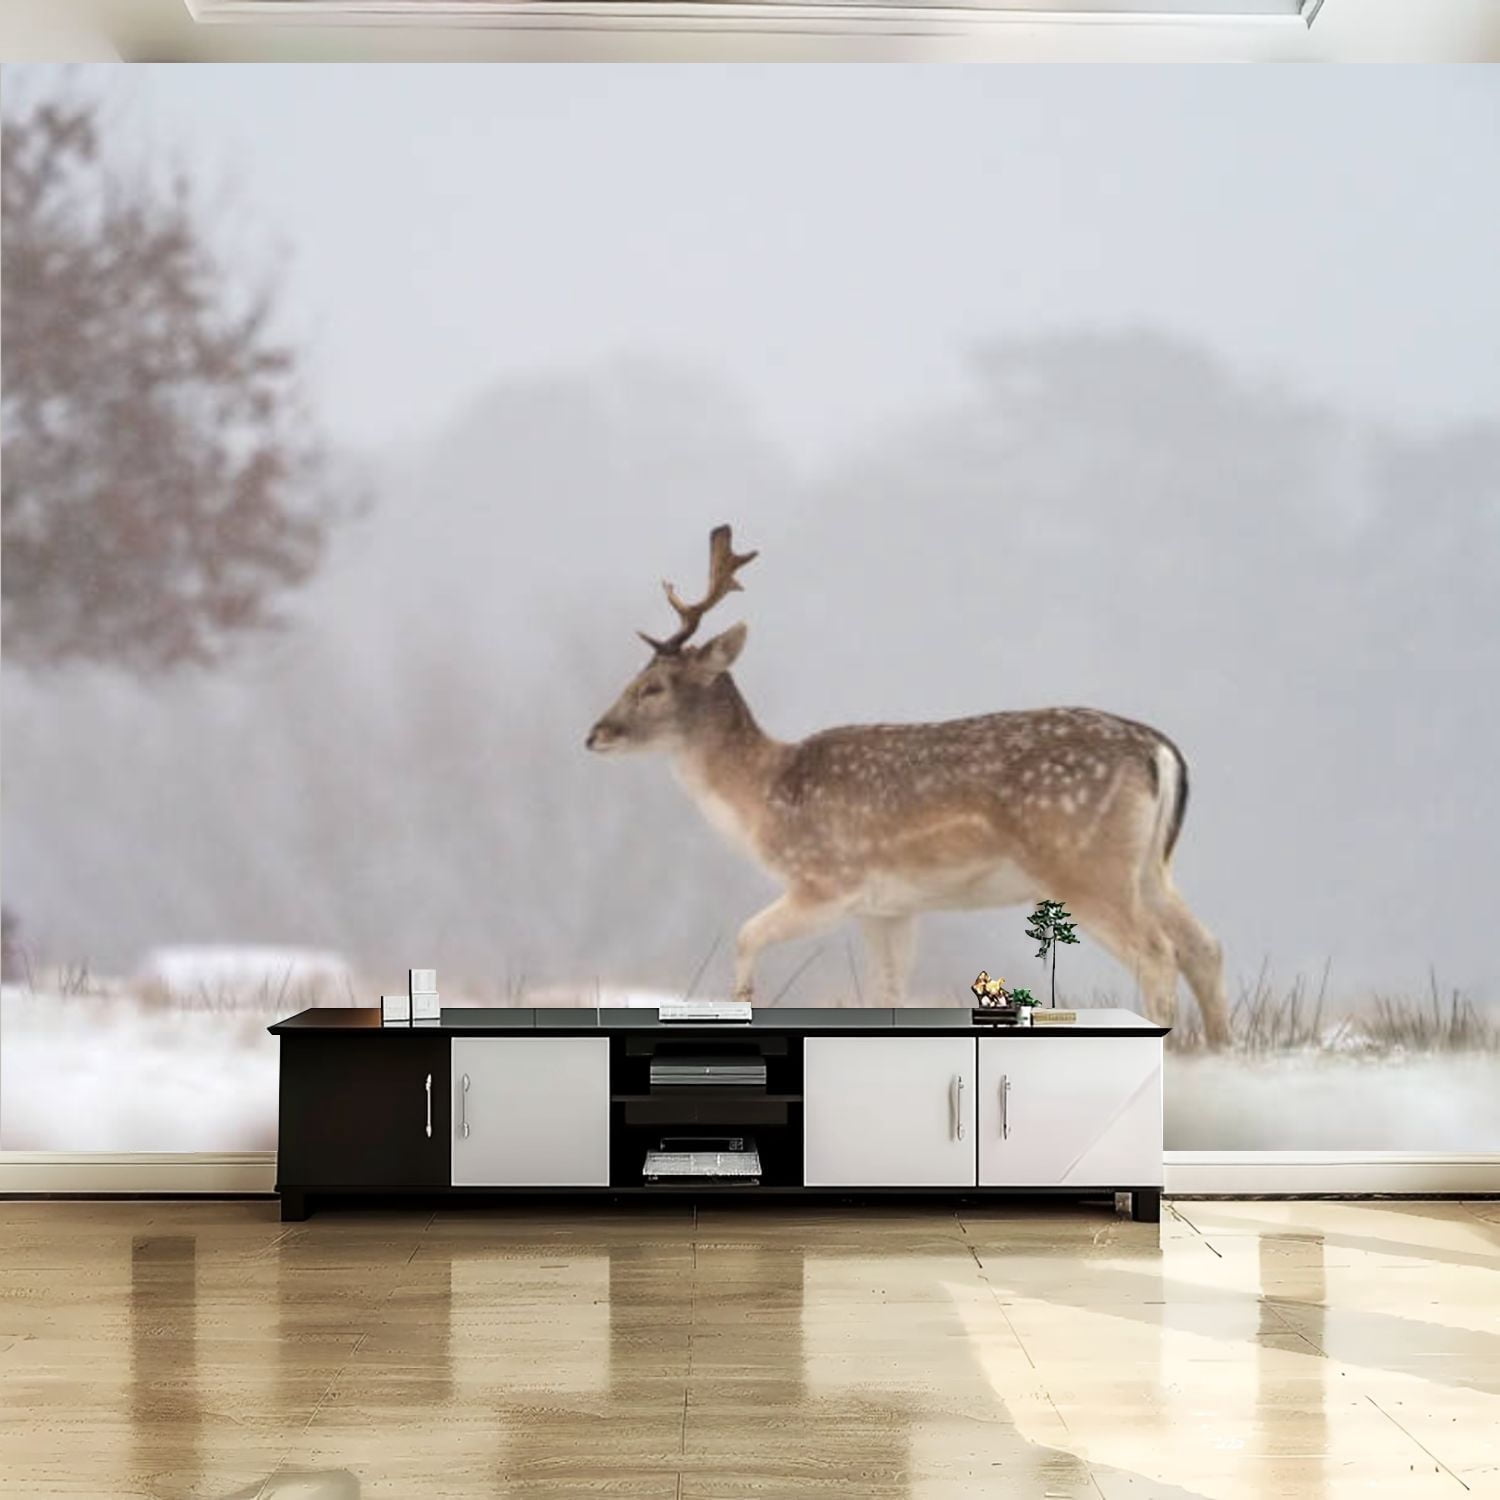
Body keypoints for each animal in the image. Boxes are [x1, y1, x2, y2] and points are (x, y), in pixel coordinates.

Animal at [586, 526, 1231, 1046]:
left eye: (653, 687)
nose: (595, 734)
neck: (763, 796)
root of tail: (1157, 750)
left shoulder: (829, 880)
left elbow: (745, 936)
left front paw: (743, 1000)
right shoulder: (889, 907)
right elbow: (887, 992)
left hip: (1084, 865)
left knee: (1157, 953)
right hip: (1146, 867)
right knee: (1203, 946)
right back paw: (1219, 1049)